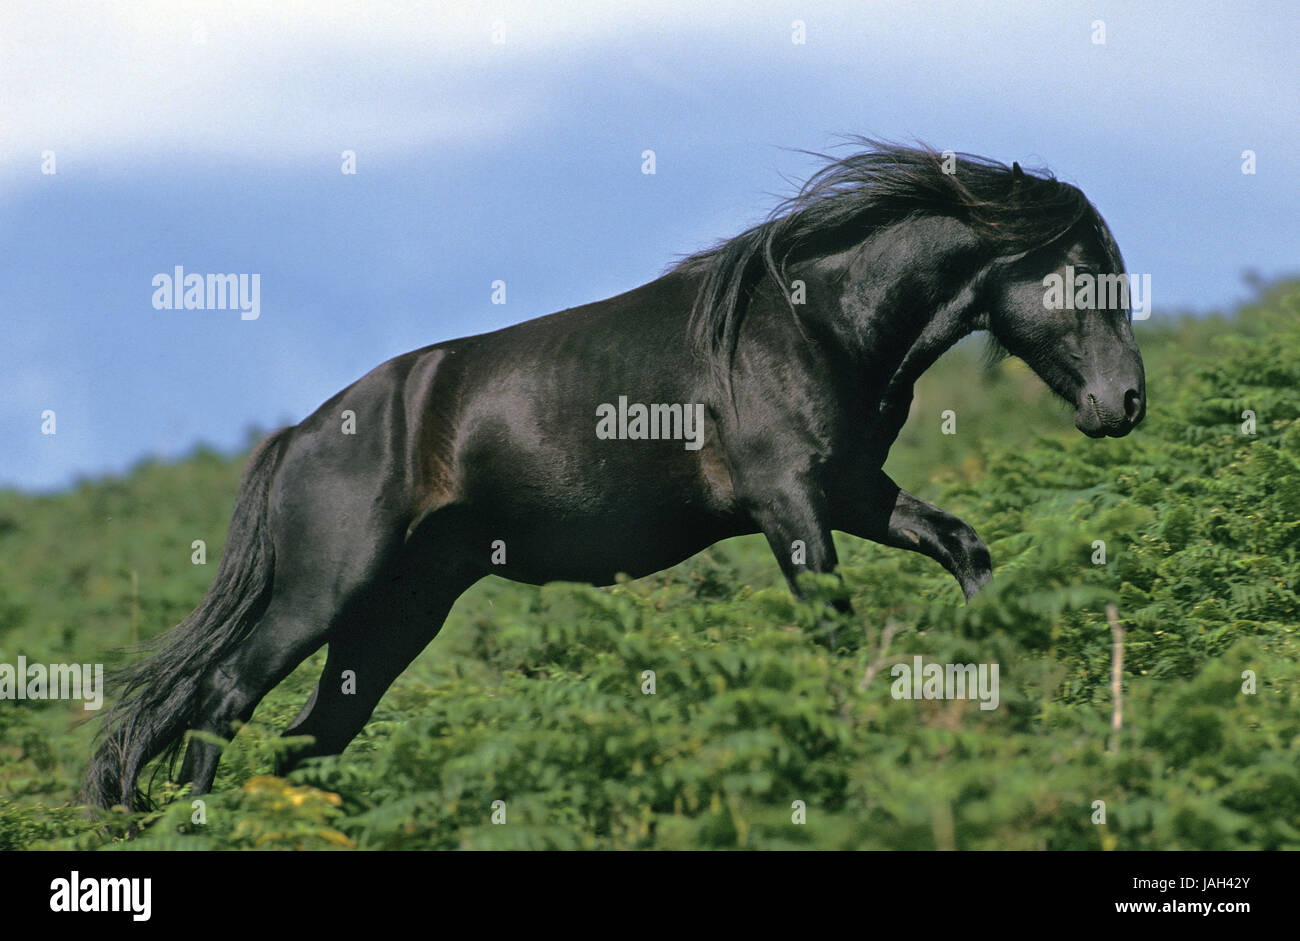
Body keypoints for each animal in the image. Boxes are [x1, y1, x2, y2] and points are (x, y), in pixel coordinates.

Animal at [83, 141, 1145, 811]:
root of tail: (298, 435)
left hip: (397, 610)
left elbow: (965, 546)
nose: (1125, 402)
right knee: (222, 699)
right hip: (323, 591)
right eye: (1084, 271)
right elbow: (831, 628)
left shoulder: (852, 491)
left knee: (309, 730)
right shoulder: (793, 504)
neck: (814, 321)